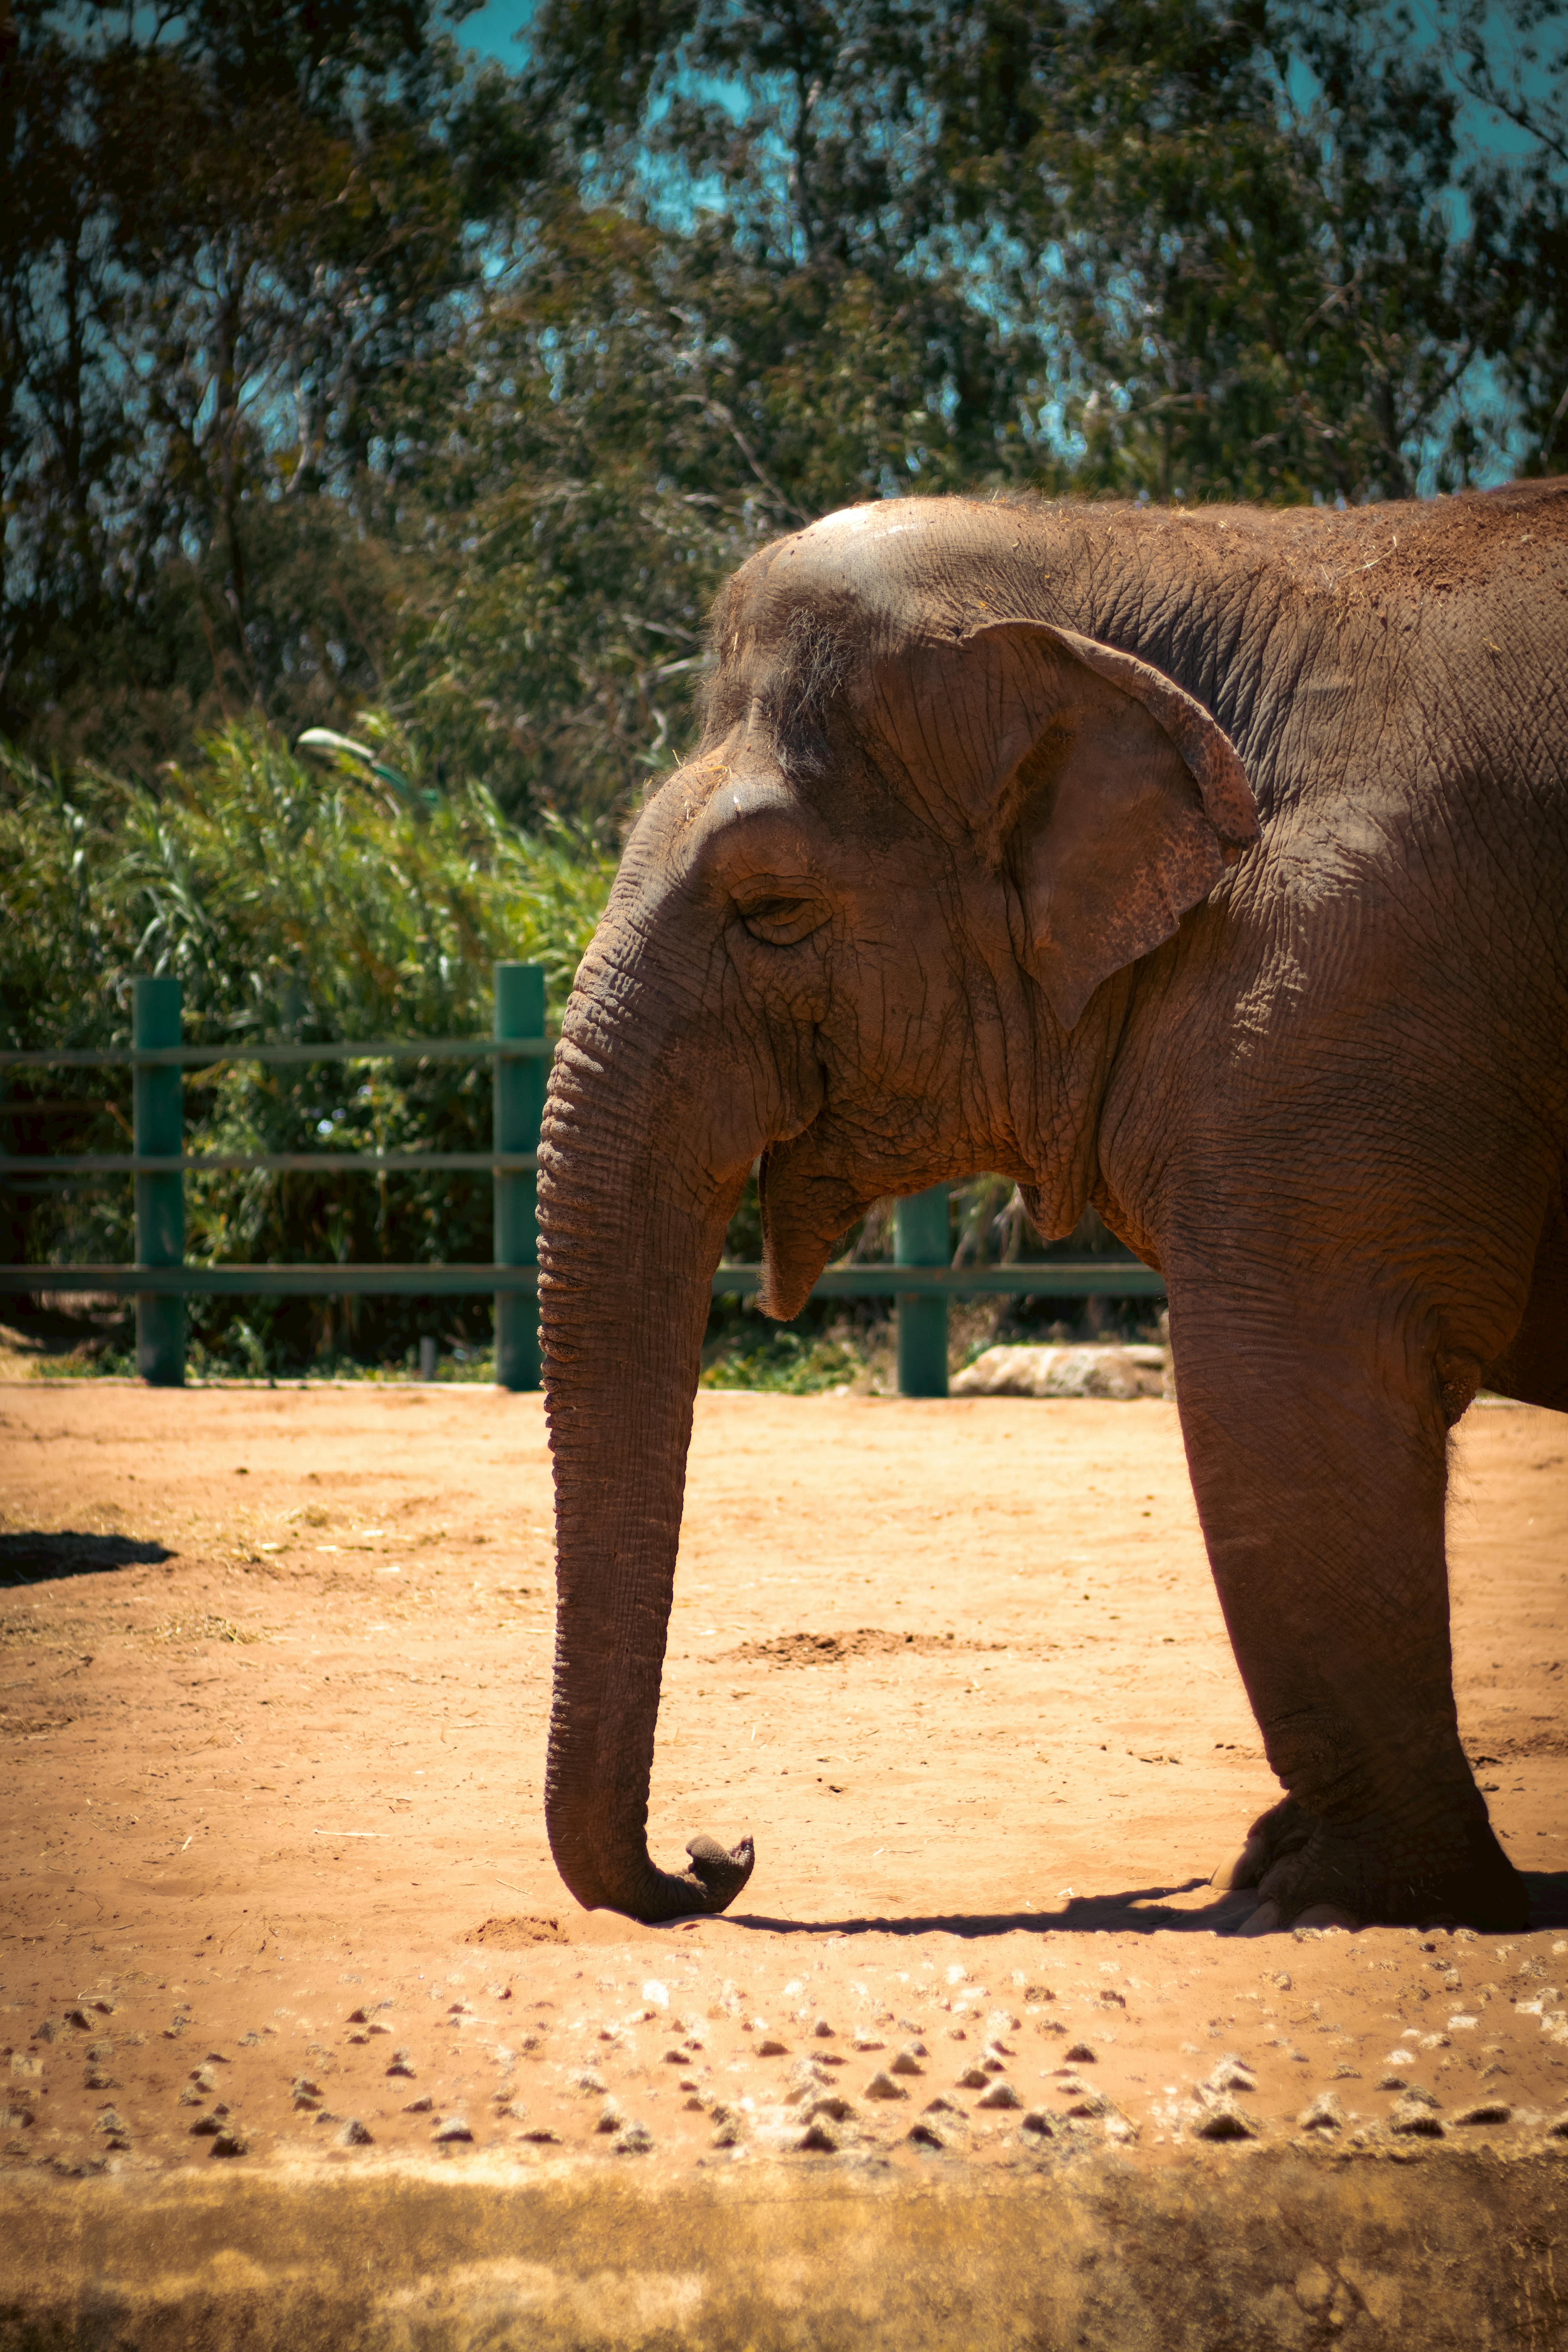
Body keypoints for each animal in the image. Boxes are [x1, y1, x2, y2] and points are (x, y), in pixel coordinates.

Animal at [536, 479, 1568, 1931]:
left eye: (772, 905)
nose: (716, 1853)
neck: (1151, 546)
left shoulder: (1349, 990)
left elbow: (1287, 1391)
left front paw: (1344, 1898)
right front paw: (1288, 1868)